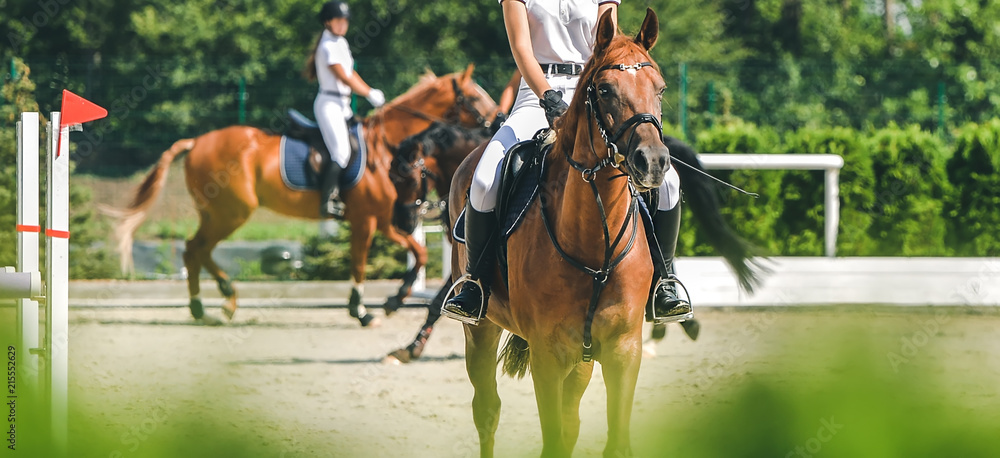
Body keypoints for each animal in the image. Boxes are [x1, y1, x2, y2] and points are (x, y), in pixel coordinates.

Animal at [103, 65, 498, 326]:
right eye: (474, 96)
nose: (495, 121)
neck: (385, 146)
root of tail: (197, 141)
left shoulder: (383, 220)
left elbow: (417, 253)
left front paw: (394, 300)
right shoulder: (367, 220)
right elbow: (359, 262)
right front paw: (362, 311)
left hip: (216, 213)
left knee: (193, 249)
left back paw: (208, 305)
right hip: (232, 213)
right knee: (198, 248)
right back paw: (219, 302)